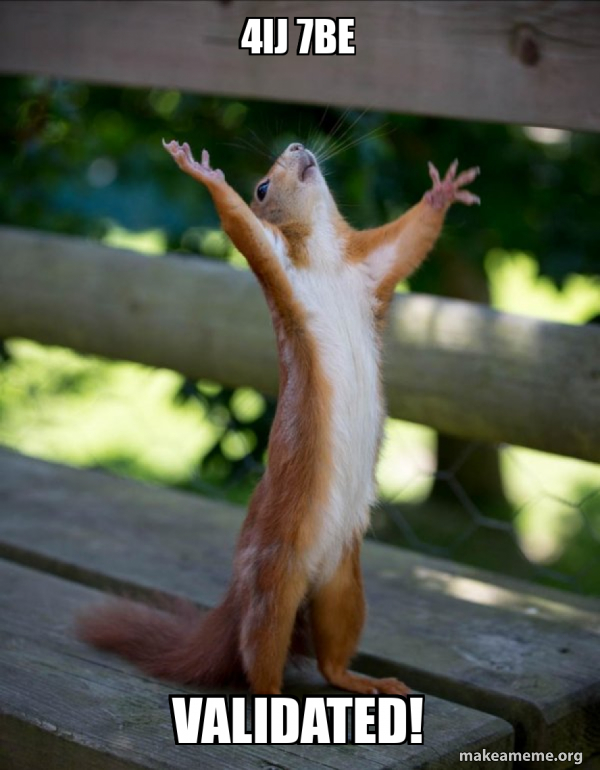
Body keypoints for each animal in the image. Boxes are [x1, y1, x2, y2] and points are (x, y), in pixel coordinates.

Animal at [77, 139, 479, 695]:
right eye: (262, 187)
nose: (296, 146)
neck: (327, 258)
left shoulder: (372, 267)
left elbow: (410, 239)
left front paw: (442, 193)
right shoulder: (277, 264)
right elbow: (240, 226)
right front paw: (203, 173)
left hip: (344, 586)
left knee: (332, 657)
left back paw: (365, 681)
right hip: (273, 583)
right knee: (260, 657)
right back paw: (275, 693)